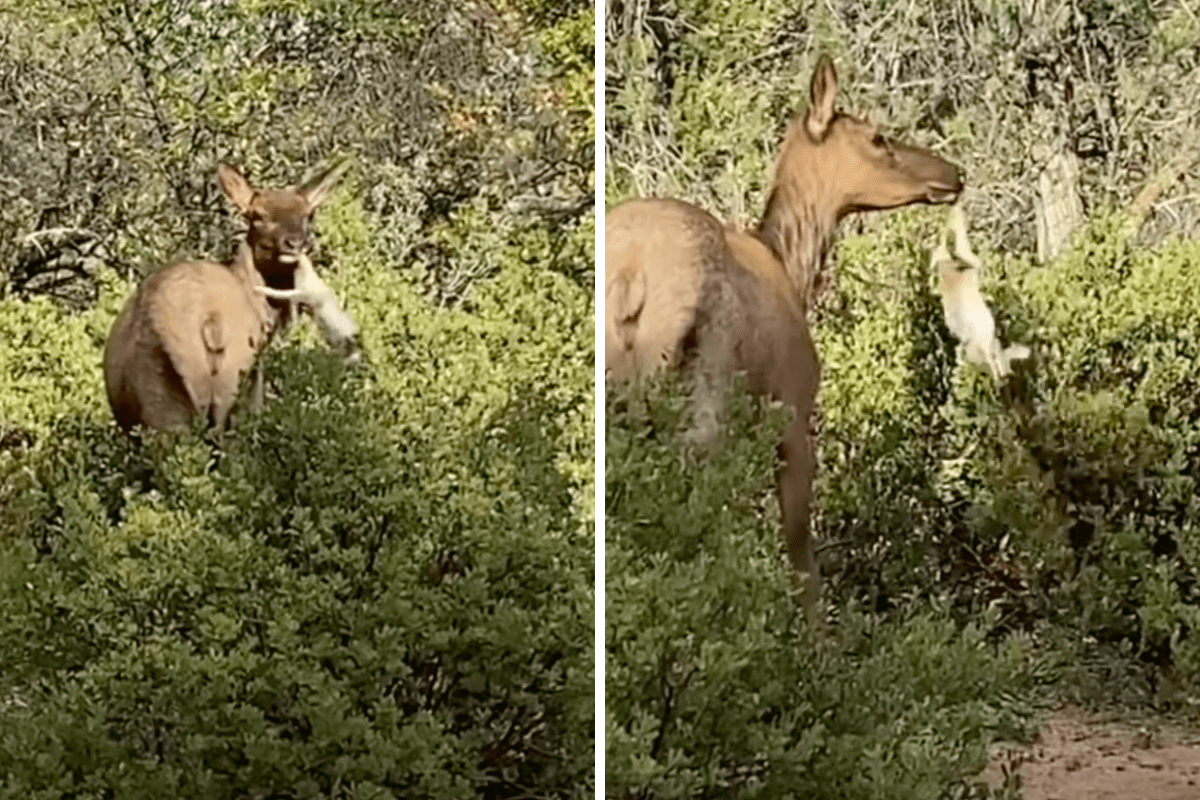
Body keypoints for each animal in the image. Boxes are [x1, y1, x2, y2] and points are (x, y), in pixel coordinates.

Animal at [605, 55, 964, 622]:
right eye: (877, 137)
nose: (952, 174)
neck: (792, 264)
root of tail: (630, 274)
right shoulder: (794, 408)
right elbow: (800, 554)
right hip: (706, 388)